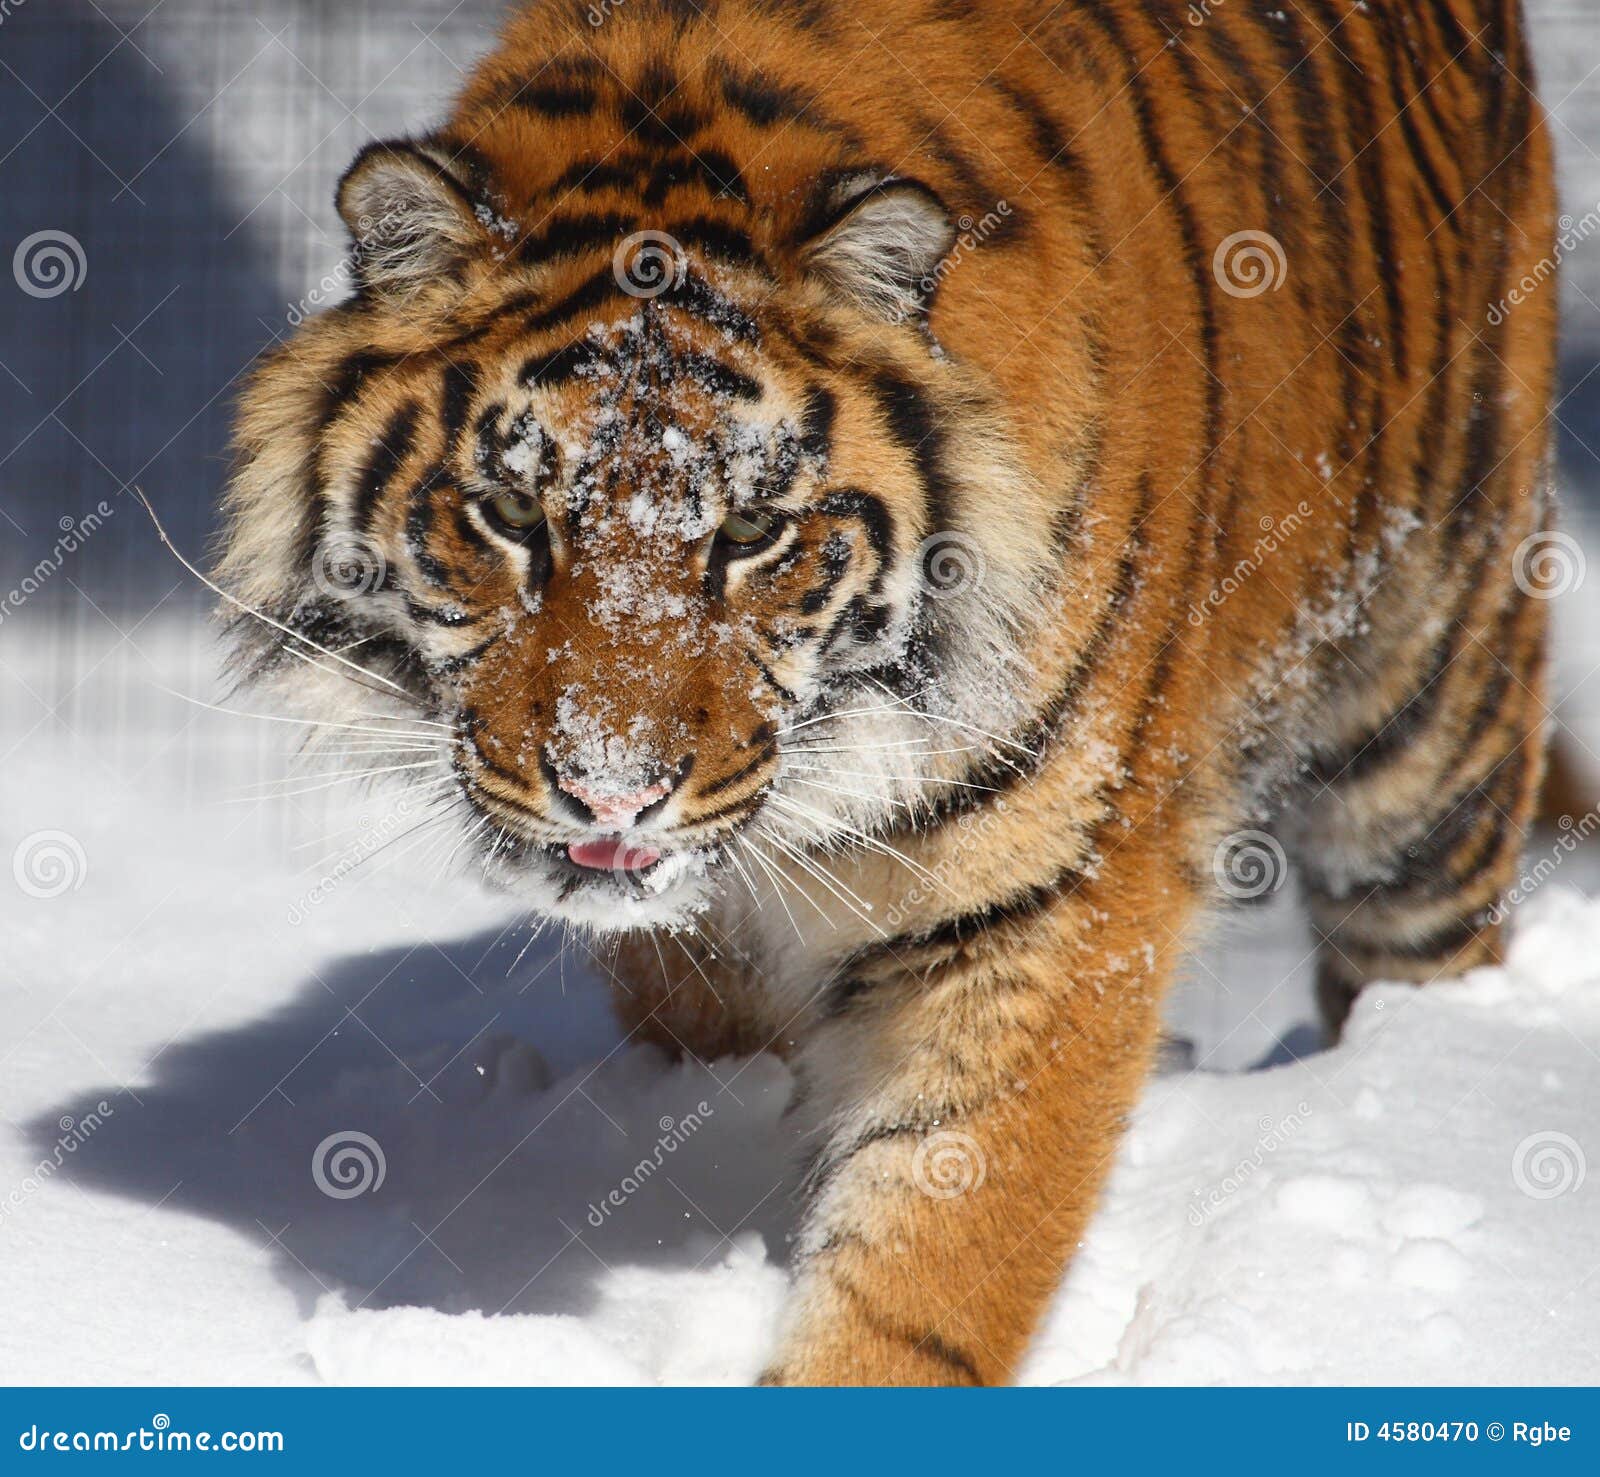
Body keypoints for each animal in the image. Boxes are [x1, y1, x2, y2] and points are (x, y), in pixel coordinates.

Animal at [216, 0, 1560, 1385]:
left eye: (752, 530)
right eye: (509, 516)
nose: (610, 793)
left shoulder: (1044, 902)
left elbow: (928, 1261)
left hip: (1424, 706)